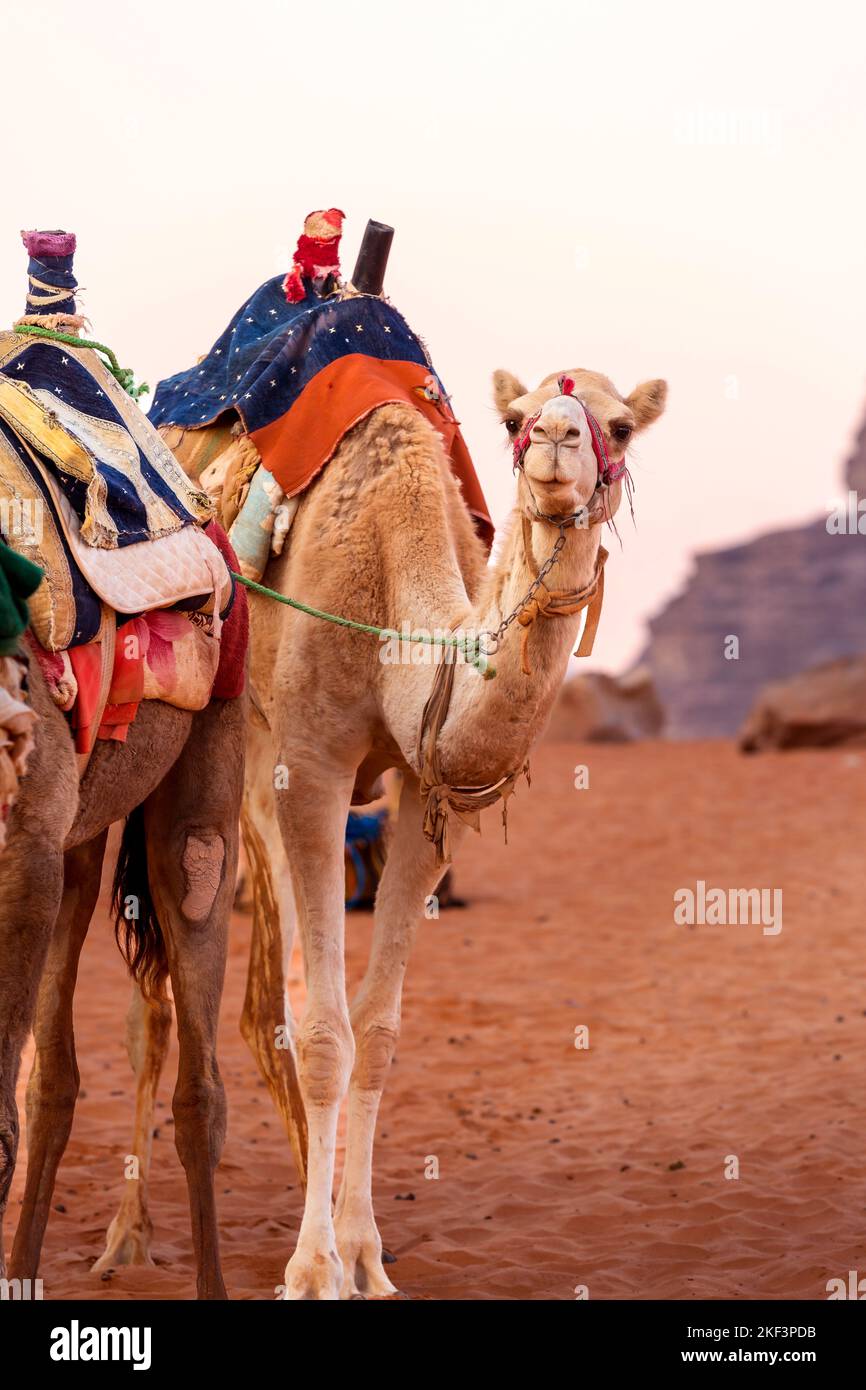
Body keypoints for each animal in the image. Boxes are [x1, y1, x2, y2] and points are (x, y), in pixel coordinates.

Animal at [91, 361, 666, 1299]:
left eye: (619, 427)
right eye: (514, 417)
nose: (555, 438)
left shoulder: (426, 797)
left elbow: (379, 1034)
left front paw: (361, 1250)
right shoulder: (313, 767)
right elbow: (328, 1036)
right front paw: (313, 1268)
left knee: (265, 1004)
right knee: (164, 1008)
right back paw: (128, 1238)